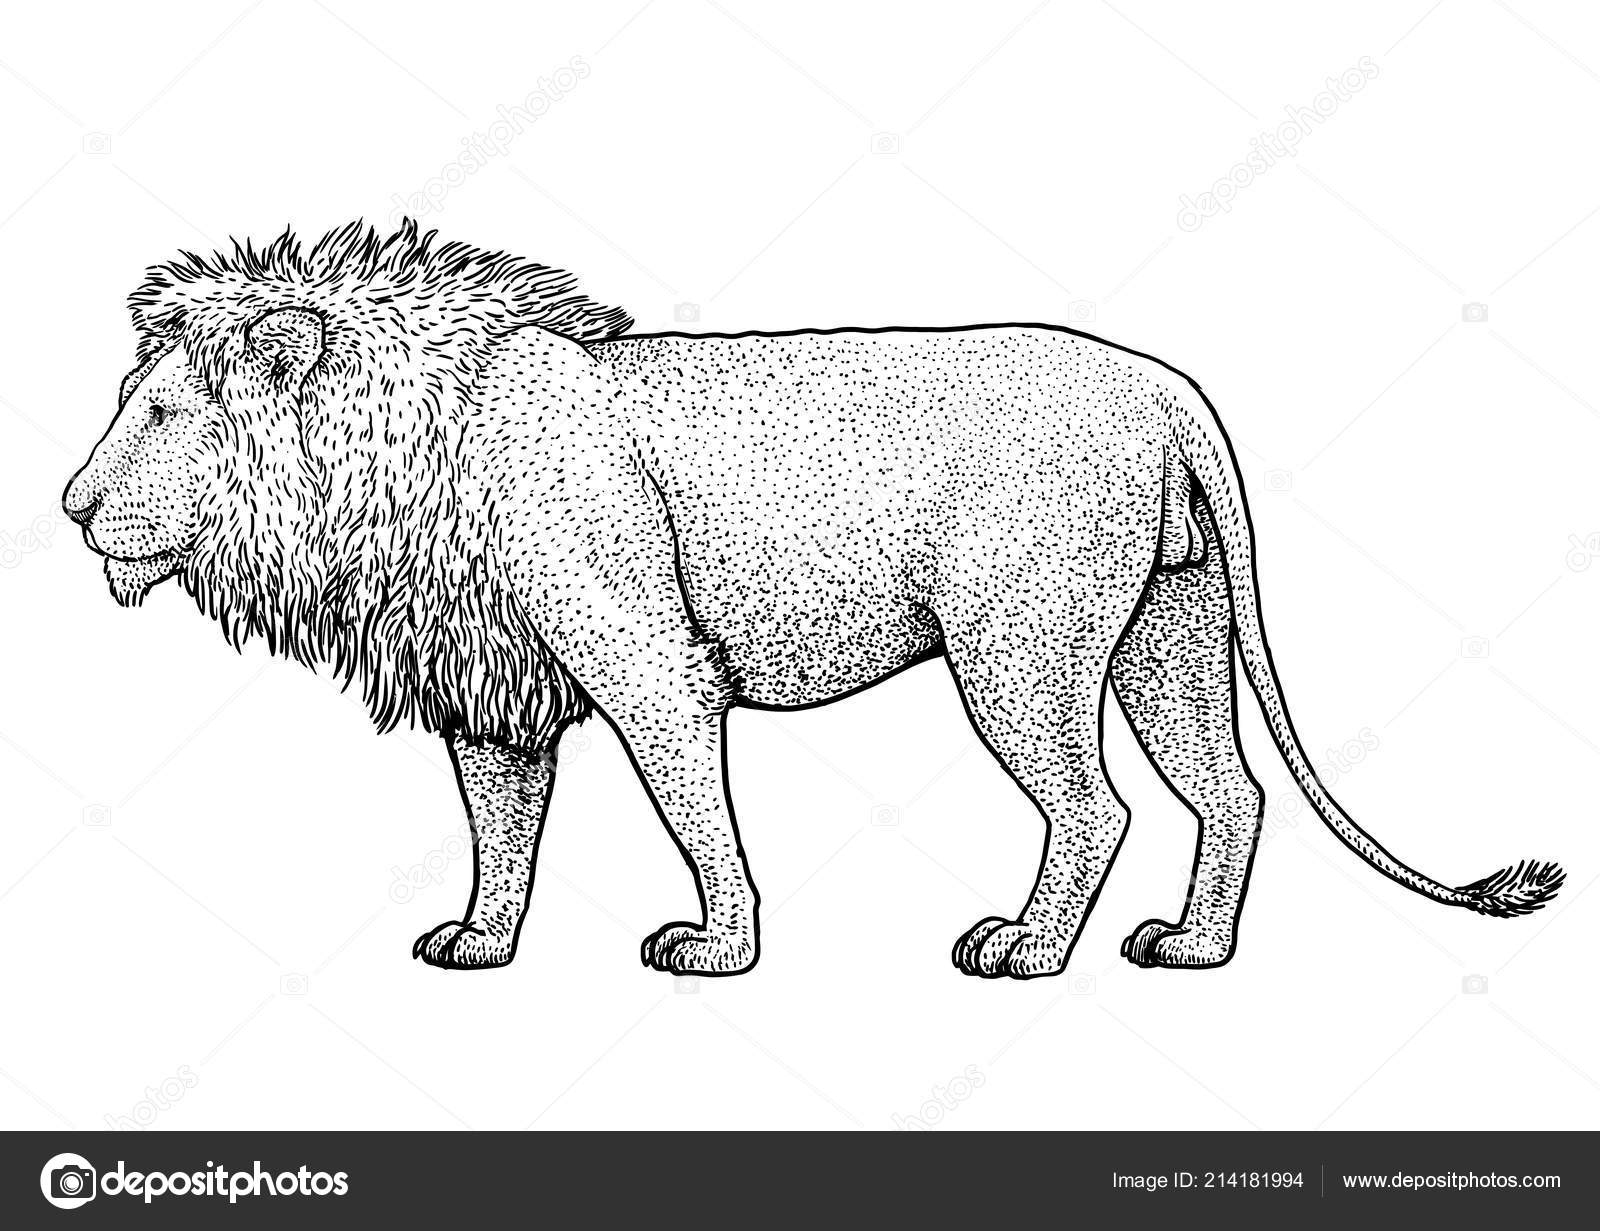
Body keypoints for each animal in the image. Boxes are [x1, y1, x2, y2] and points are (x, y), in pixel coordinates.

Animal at [64, 220, 1563, 979]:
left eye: (164, 412)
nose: (71, 507)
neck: (406, 454)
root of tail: (1163, 386)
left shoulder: (645, 658)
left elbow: (692, 810)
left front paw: (719, 945)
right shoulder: (493, 686)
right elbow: (502, 829)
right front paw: (481, 942)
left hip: (1018, 652)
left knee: (1098, 805)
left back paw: (1028, 949)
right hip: (1164, 633)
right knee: (1230, 791)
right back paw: (1192, 947)